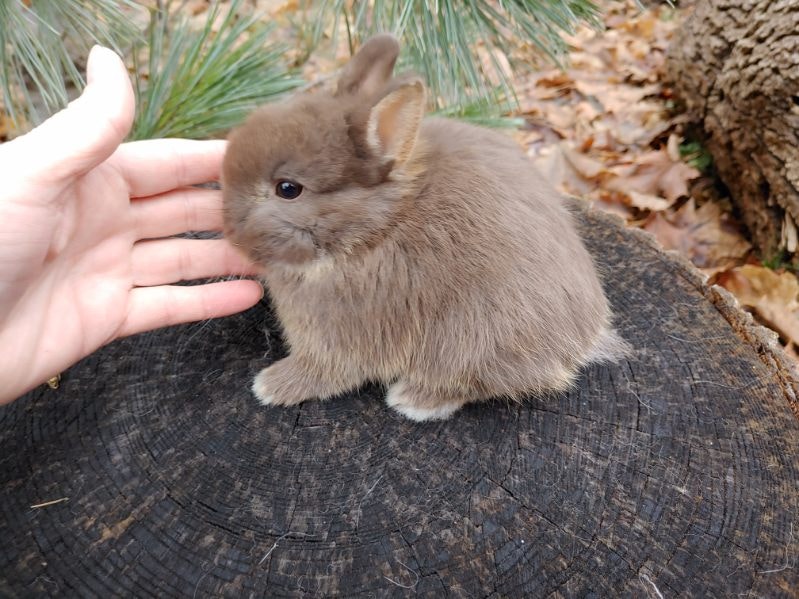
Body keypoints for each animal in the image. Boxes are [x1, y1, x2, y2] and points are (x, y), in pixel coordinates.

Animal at [221, 33, 626, 422]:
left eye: (288, 189)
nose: (228, 229)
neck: (375, 229)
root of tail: (585, 339)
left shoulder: (339, 338)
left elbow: (325, 371)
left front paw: (270, 386)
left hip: (472, 339)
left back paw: (414, 400)